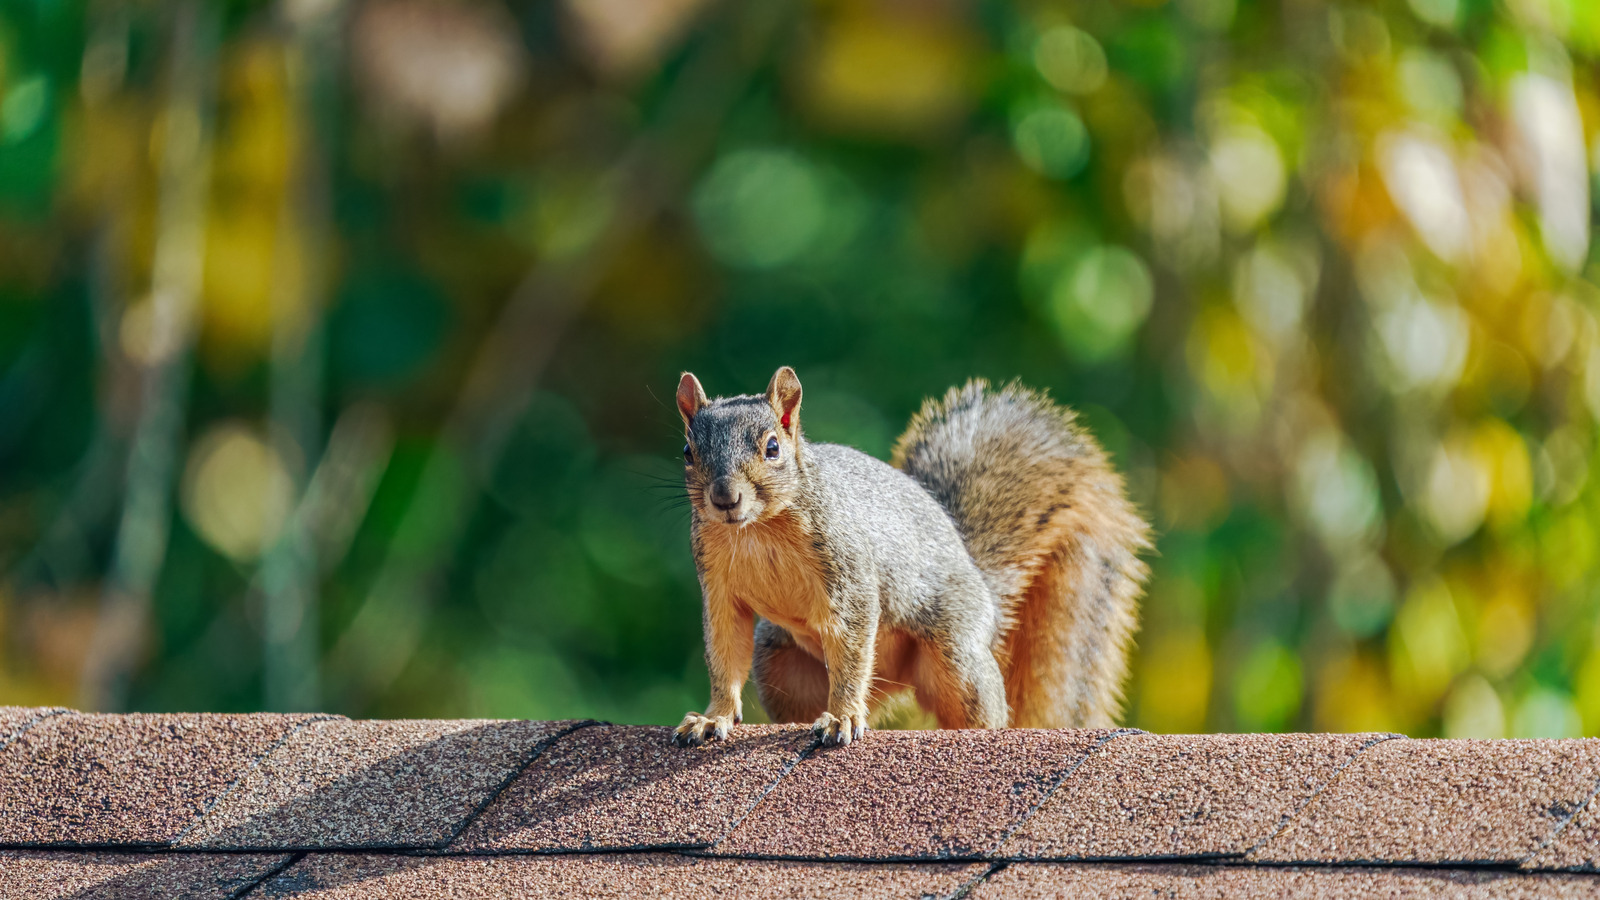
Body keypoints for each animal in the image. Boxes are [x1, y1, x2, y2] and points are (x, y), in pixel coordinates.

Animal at [671, 366, 1150, 747]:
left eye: (772, 448)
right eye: (688, 452)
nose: (725, 499)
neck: (756, 530)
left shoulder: (849, 571)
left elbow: (851, 642)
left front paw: (842, 718)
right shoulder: (719, 588)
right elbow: (724, 652)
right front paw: (713, 718)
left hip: (956, 654)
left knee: (979, 707)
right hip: (780, 665)